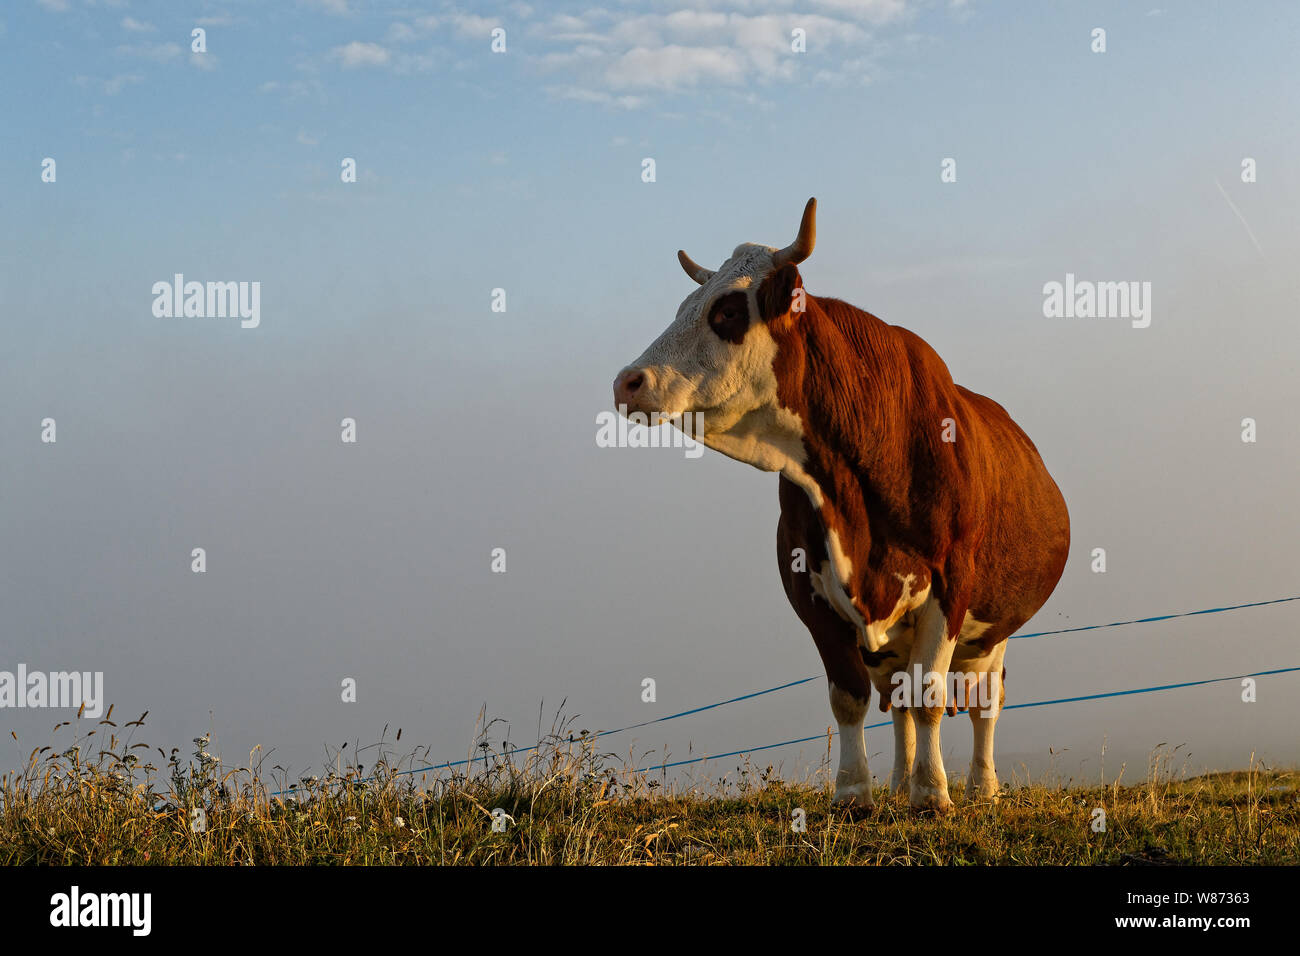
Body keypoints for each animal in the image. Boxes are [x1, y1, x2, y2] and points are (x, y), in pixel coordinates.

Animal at [613, 197, 1071, 811]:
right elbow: (850, 697)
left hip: (993, 635)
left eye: (726, 310)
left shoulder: (952, 582)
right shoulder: (807, 590)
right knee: (898, 704)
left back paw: (981, 786)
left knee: (982, 707)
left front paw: (933, 795)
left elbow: (931, 695)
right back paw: (900, 782)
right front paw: (856, 793)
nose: (626, 382)